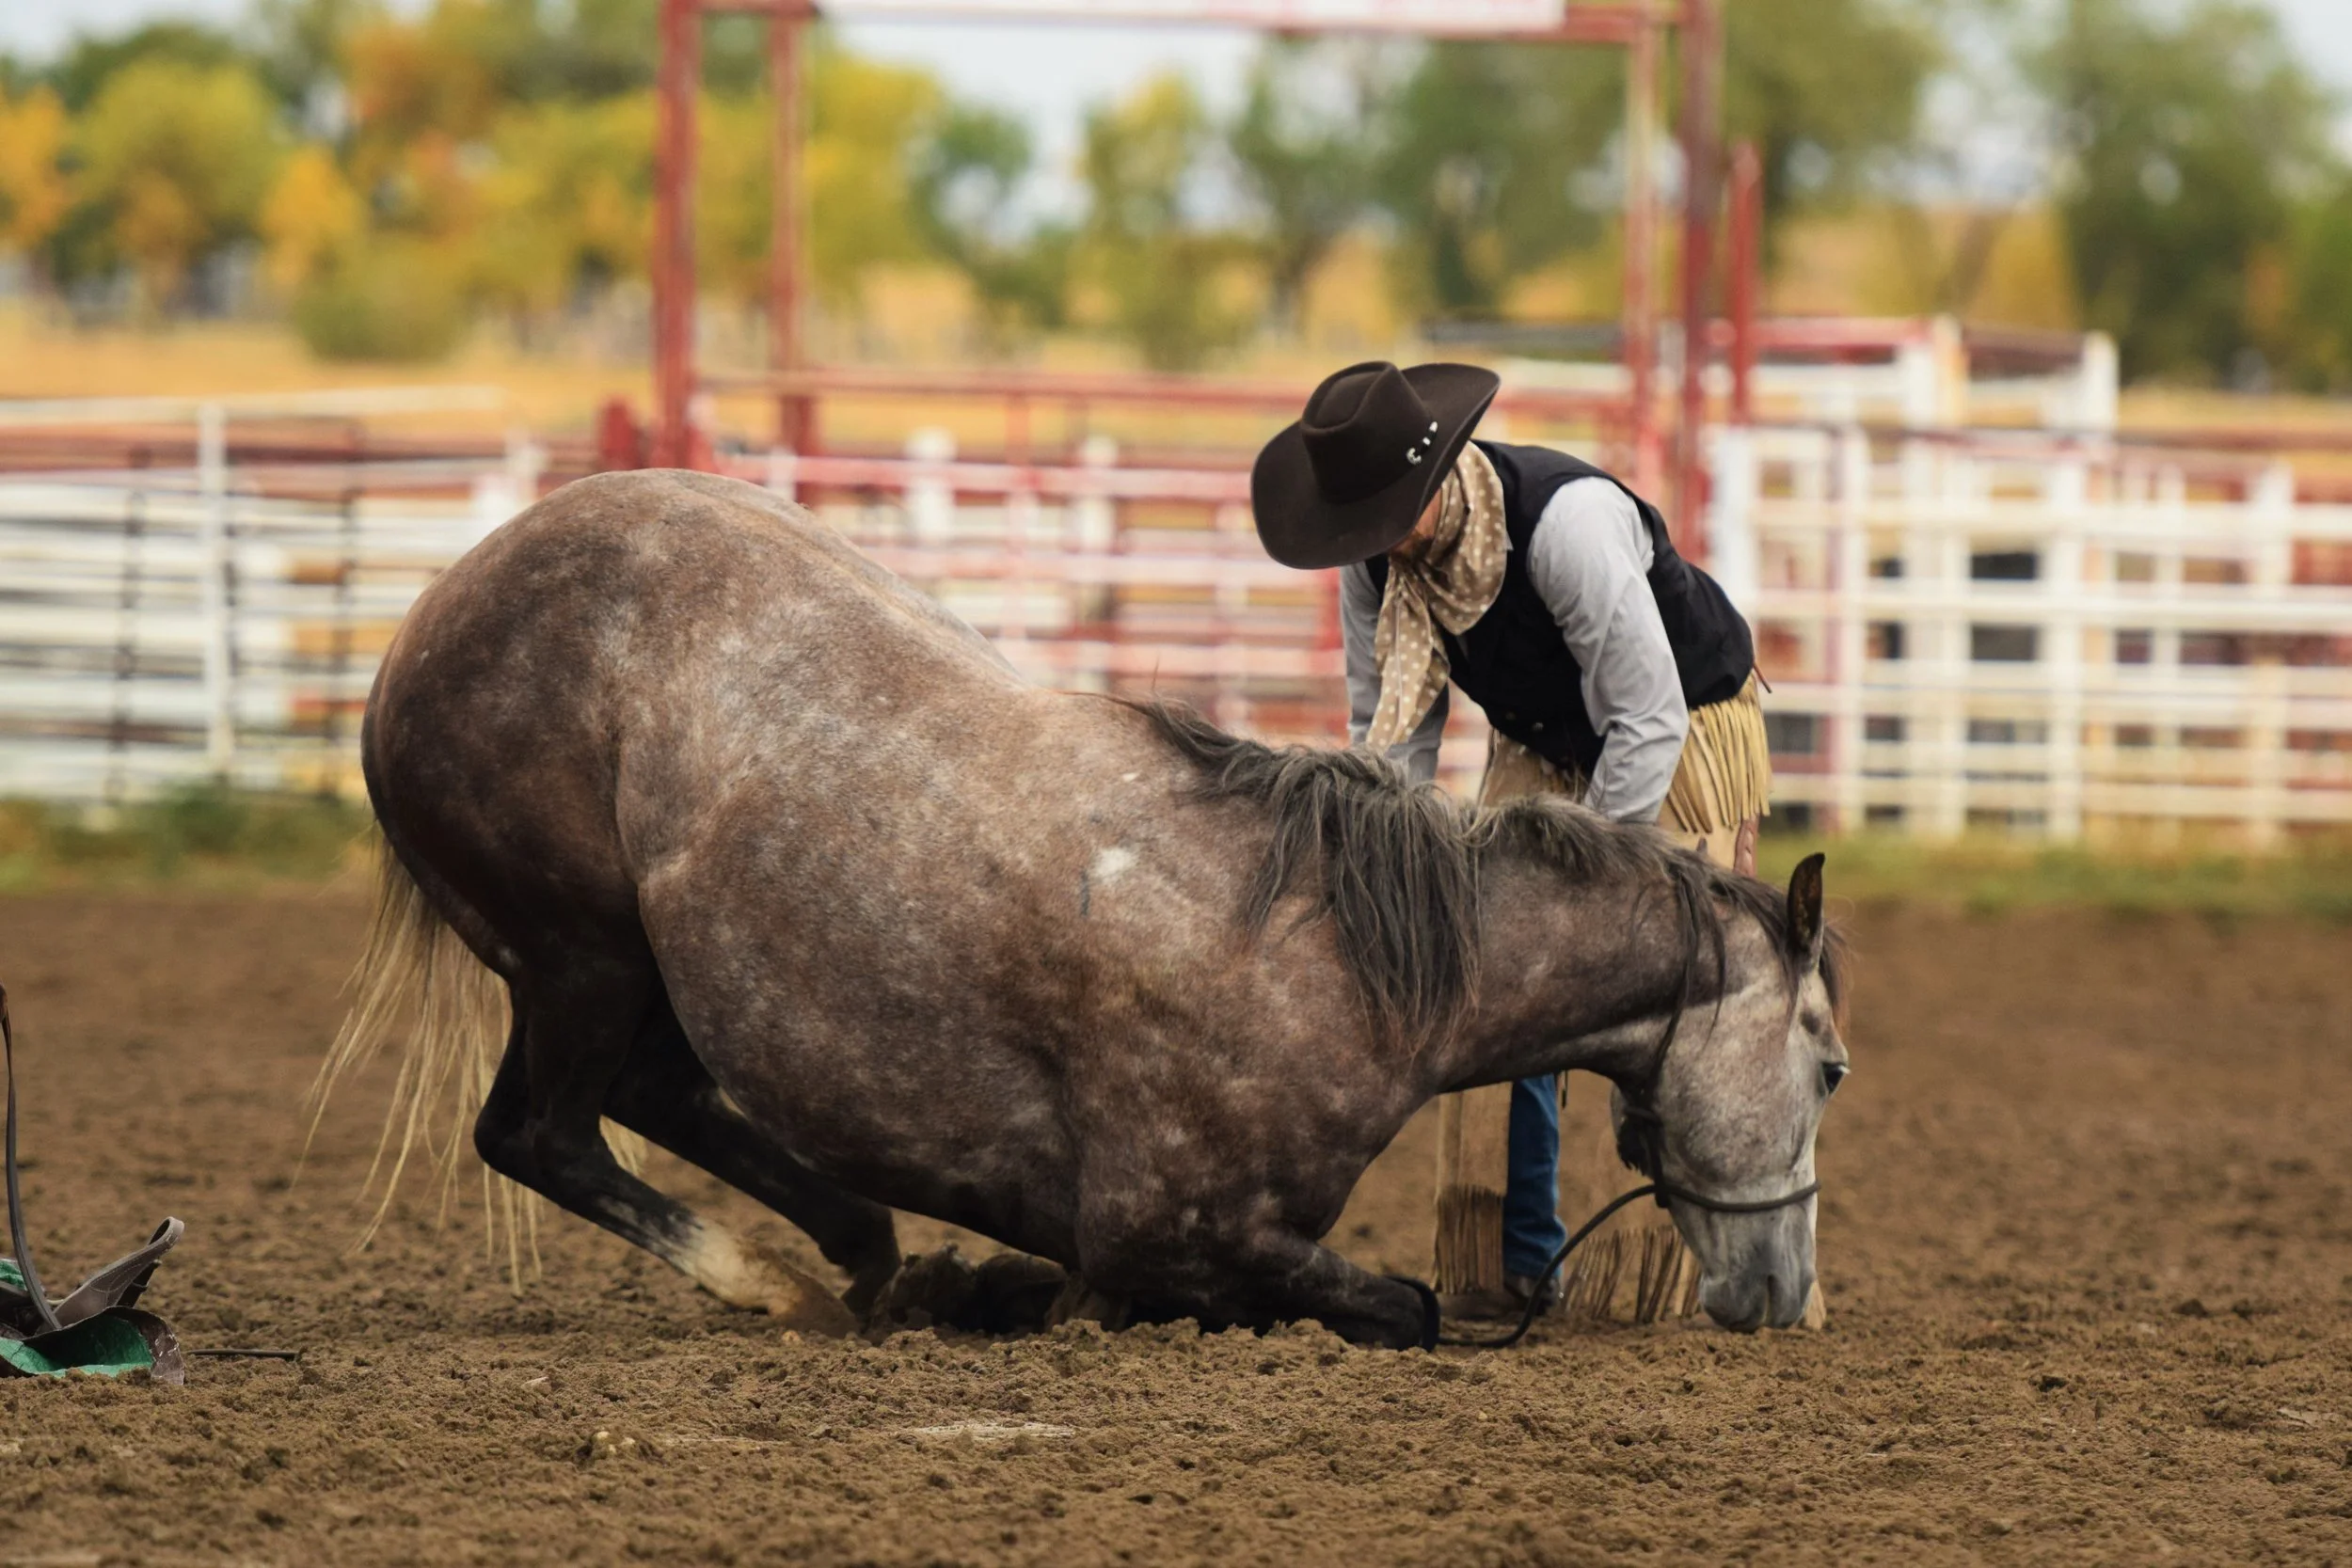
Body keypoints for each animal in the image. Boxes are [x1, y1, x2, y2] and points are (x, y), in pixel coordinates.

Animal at [320, 469, 1848, 1349]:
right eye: (1828, 1061)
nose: (1782, 1293)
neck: (1349, 961)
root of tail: (426, 619)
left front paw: (984, 1288)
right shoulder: (1180, 1232)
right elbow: (1398, 1307)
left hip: (631, 970)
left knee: (653, 1098)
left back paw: (871, 1256)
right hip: (575, 950)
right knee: (541, 1129)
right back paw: (779, 1278)